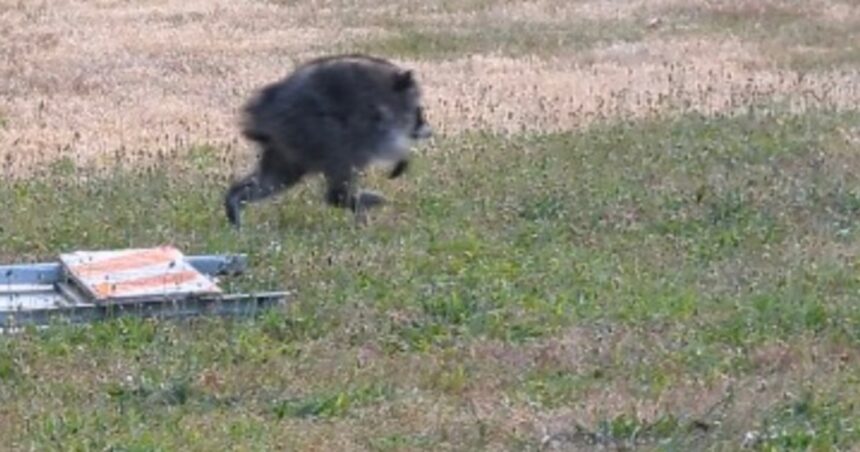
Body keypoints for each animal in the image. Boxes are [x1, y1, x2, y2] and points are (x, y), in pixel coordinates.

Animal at [224, 54, 432, 228]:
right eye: (419, 111)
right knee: (343, 160)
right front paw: (402, 155)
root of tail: (263, 111)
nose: (429, 131)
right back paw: (343, 198)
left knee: (274, 180)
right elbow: (385, 142)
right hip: (314, 130)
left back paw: (235, 199)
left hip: (287, 145)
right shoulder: (374, 117)